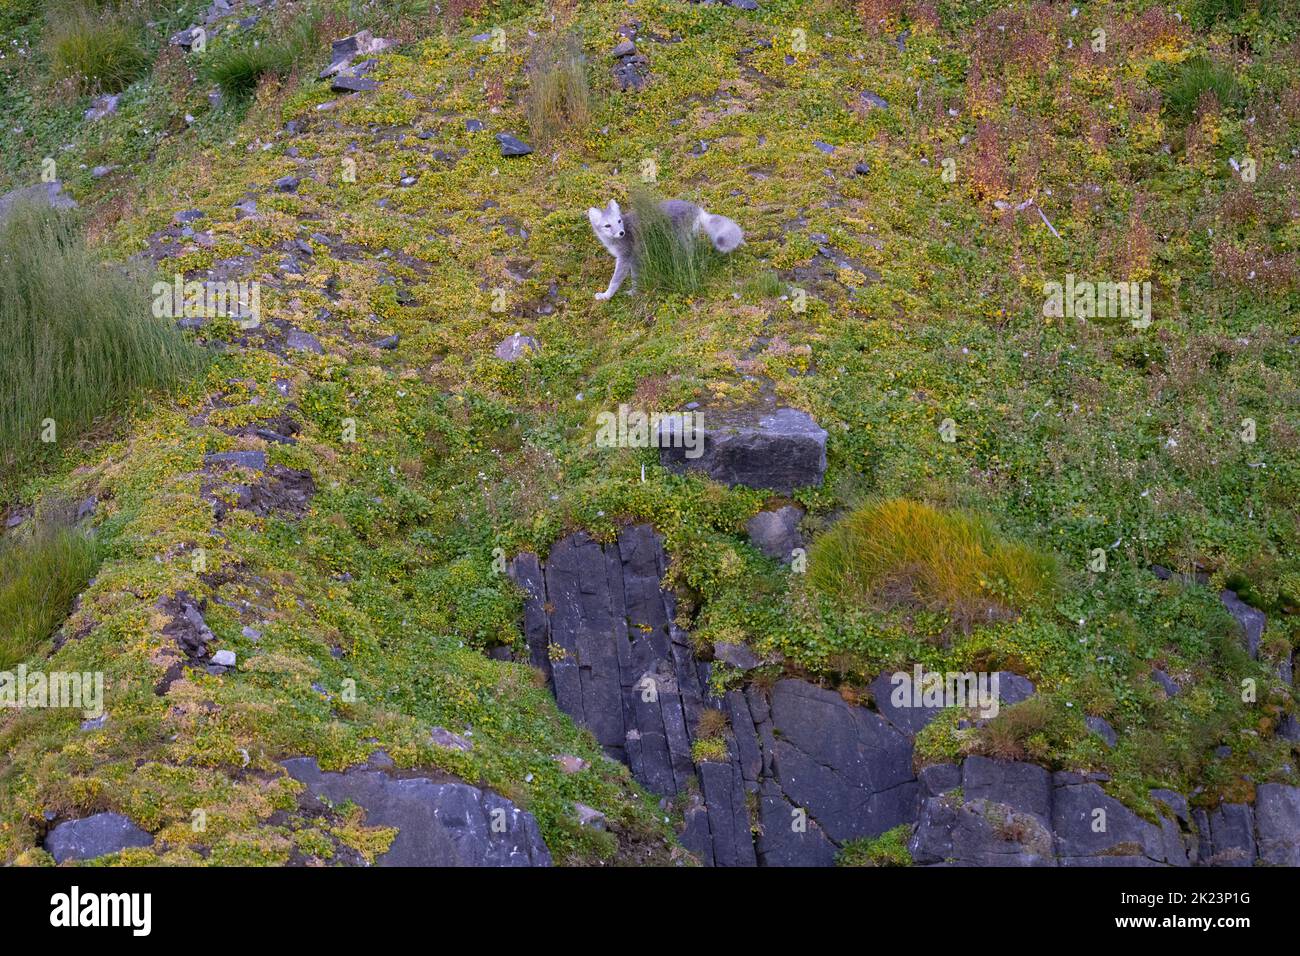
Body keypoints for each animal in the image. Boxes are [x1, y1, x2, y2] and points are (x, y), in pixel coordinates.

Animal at [587, 198, 744, 300]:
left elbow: (616, 280)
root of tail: (697, 209)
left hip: (680, 240)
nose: (621, 233)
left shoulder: (626, 257)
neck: (613, 241)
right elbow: (635, 277)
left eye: (619, 221)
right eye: (607, 225)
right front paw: (633, 292)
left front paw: (607, 295)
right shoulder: (634, 258)